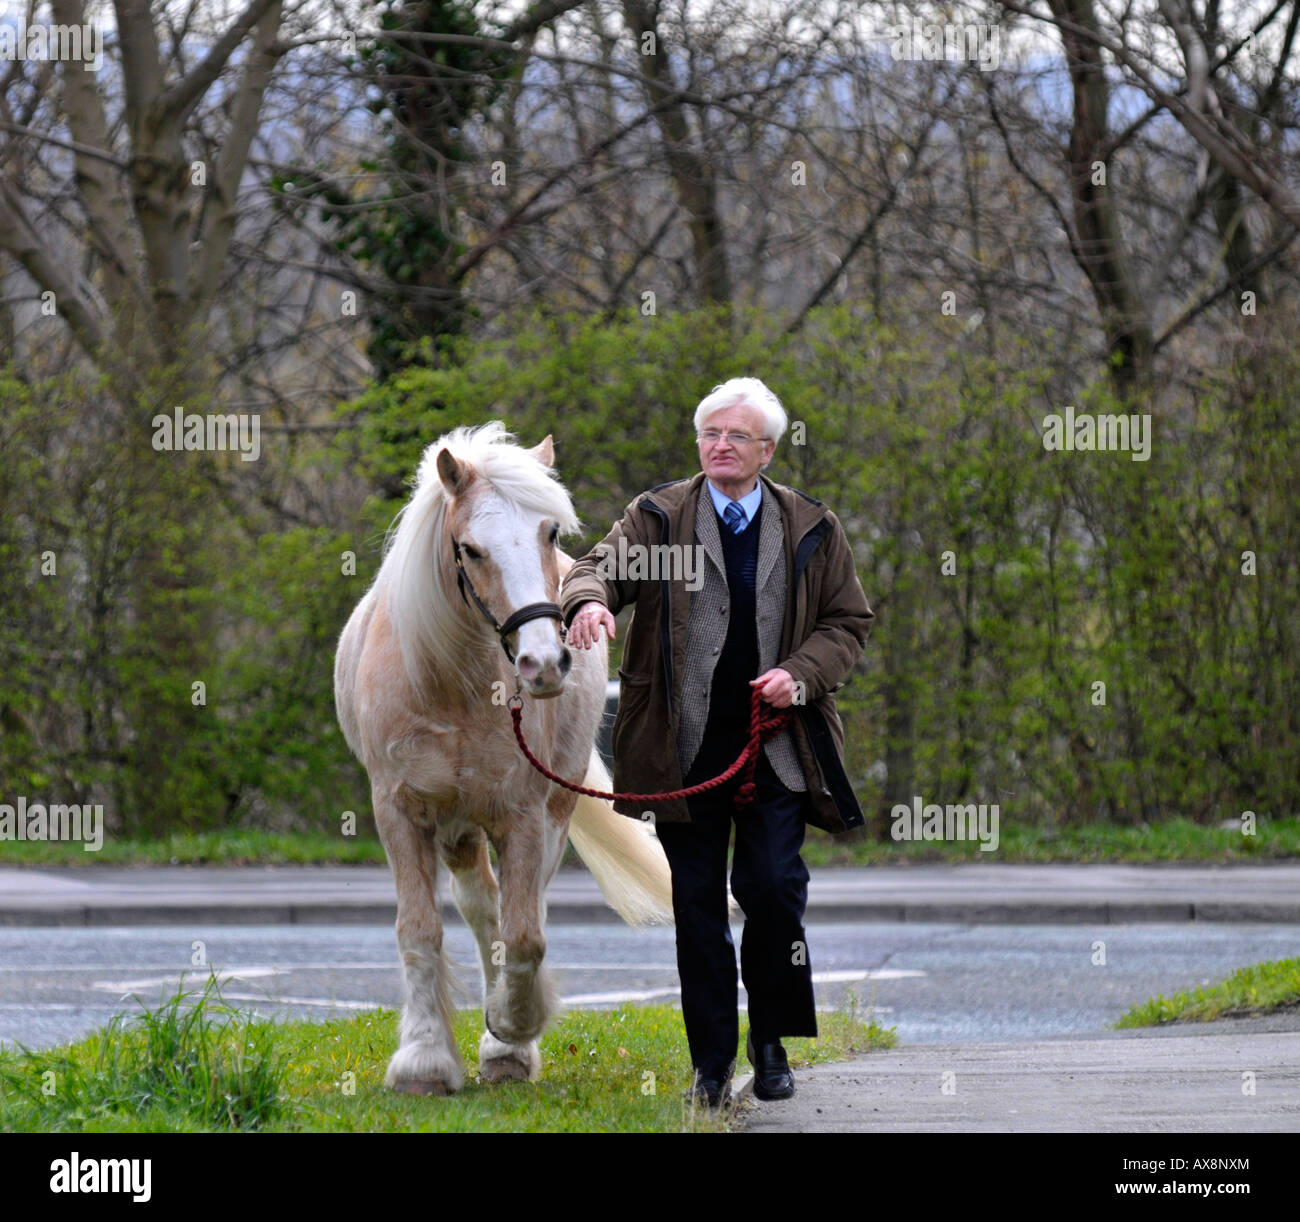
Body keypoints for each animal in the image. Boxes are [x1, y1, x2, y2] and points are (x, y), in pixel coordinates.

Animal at [334, 421, 674, 1095]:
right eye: (469, 549)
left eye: (550, 533)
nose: (543, 664)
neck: (448, 685)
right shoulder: (399, 813)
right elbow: (420, 930)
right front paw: (425, 1059)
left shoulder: (522, 814)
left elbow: (523, 937)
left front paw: (512, 1033)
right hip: (458, 828)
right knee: (479, 904)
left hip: (552, 807)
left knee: (521, 908)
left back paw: (505, 1041)